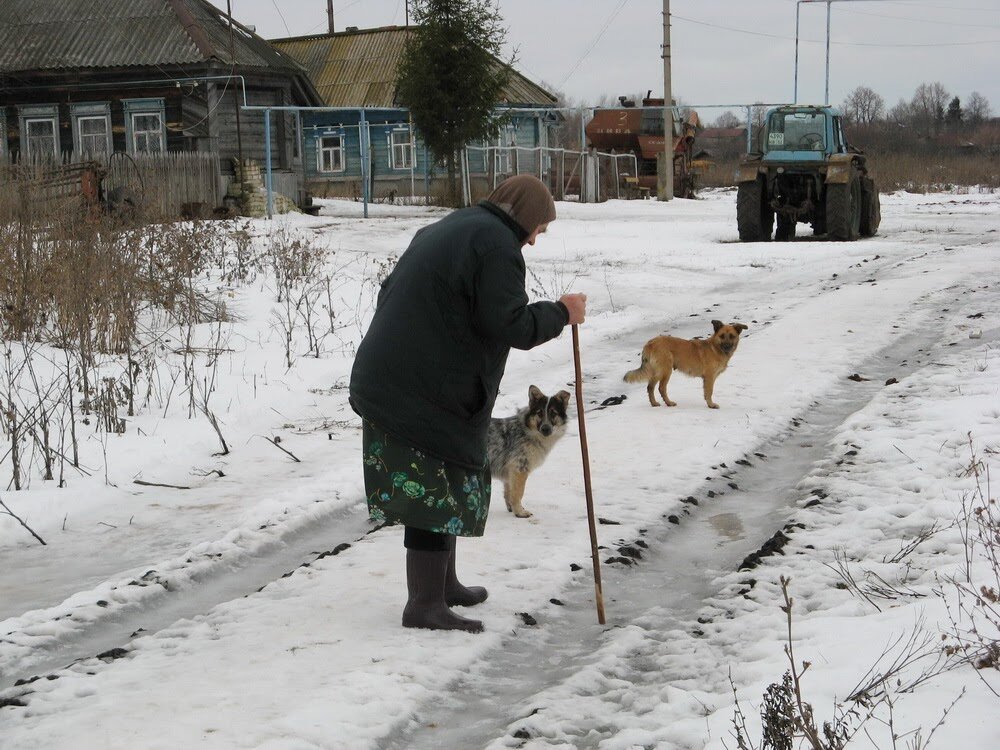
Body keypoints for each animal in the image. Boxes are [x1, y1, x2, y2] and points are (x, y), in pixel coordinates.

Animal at [486, 384, 572, 520]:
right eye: (539, 413)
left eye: (553, 413)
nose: (545, 429)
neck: (527, 431)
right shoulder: (519, 469)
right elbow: (518, 493)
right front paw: (520, 512)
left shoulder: (510, 473)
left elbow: (509, 493)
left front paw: (512, 508)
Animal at [620, 318, 748, 412]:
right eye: (721, 336)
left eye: (732, 336)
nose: (727, 347)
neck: (715, 348)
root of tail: (650, 343)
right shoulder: (709, 377)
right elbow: (709, 392)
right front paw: (711, 405)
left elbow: (706, 393)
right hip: (665, 371)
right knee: (660, 388)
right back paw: (667, 403)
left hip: (659, 371)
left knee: (651, 387)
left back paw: (654, 403)